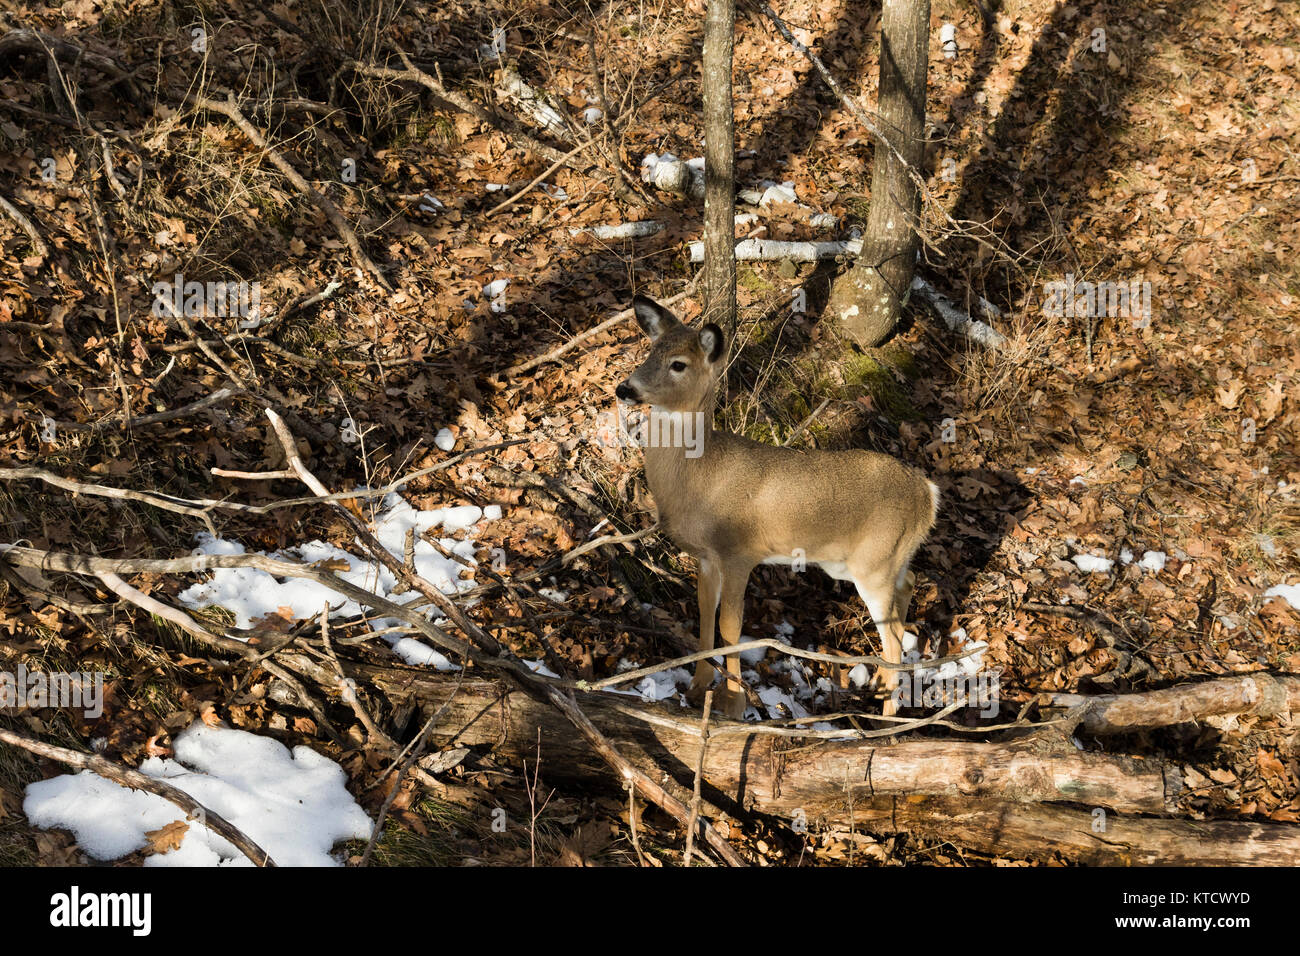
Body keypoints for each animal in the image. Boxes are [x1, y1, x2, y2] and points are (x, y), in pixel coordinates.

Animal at [614, 295, 940, 720]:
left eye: (678, 364)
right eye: (651, 351)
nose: (625, 388)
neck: (702, 478)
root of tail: (928, 494)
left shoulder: (740, 551)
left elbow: (730, 627)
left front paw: (733, 702)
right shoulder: (707, 557)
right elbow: (703, 614)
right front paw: (699, 686)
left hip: (874, 563)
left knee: (894, 635)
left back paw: (886, 719)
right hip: (880, 560)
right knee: (908, 593)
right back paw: (881, 690)